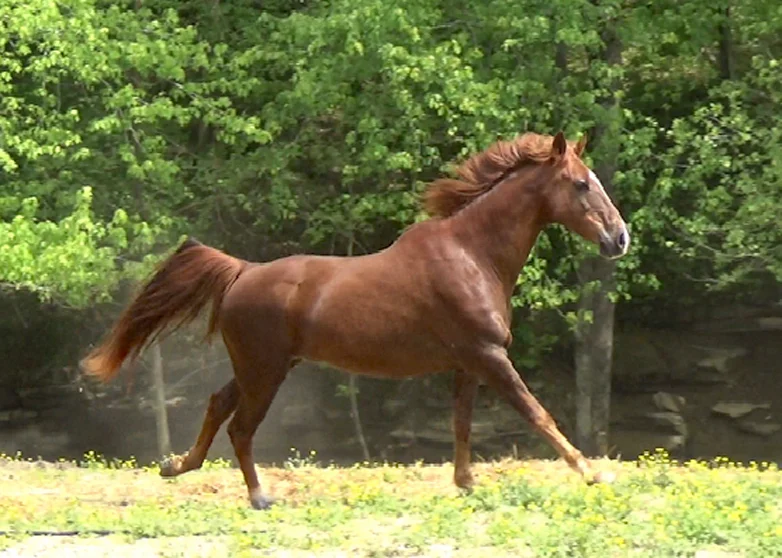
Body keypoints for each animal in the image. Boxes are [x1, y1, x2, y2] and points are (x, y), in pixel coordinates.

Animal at [81, 131, 630, 510]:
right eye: (581, 184)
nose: (619, 238)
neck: (473, 255)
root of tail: (242, 271)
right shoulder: (489, 356)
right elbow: (538, 414)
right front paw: (592, 473)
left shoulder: (468, 363)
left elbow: (462, 425)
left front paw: (466, 483)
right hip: (265, 371)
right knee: (240, 427)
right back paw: (259, 496)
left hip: (263, 367)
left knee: (217, 405)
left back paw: (177, 465)